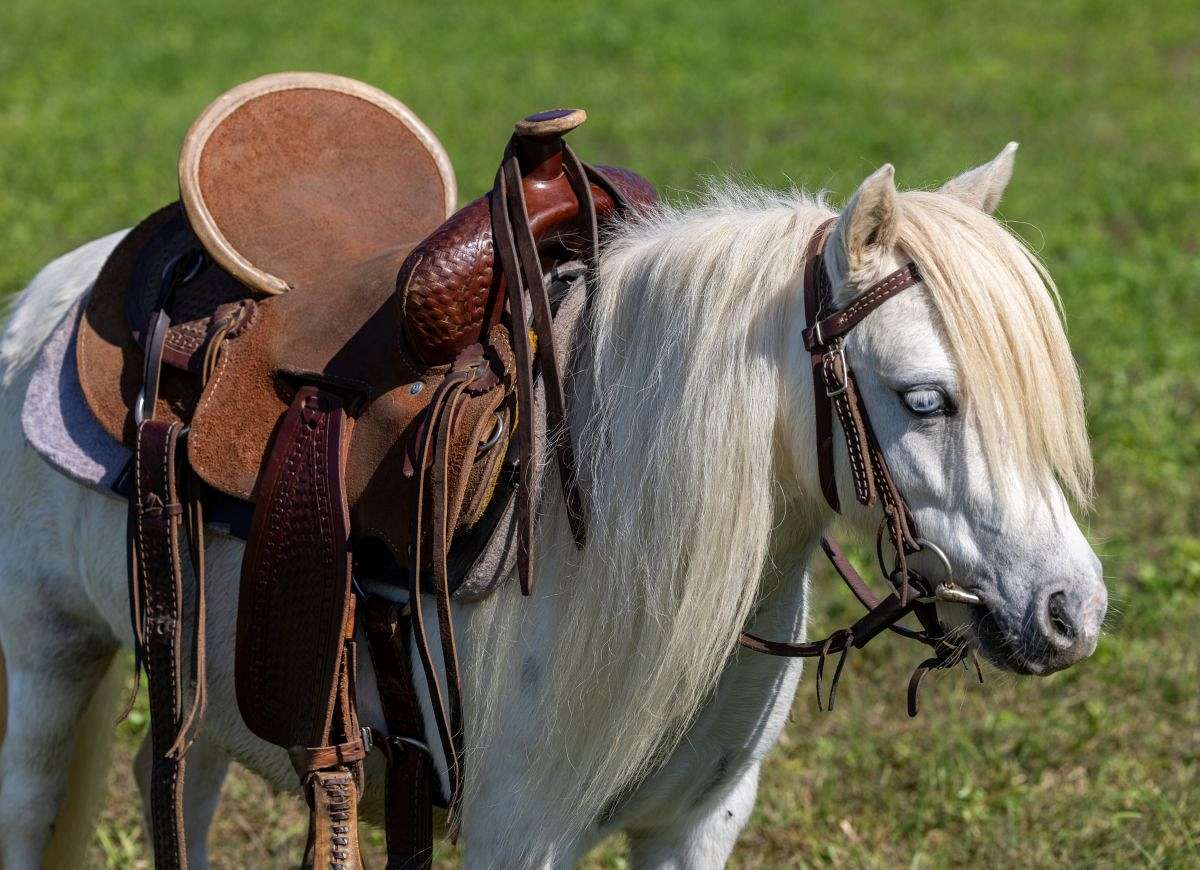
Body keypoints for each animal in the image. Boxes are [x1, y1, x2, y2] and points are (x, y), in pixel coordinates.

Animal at [0, 143, 1106, 868]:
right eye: (924, 399)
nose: (1073, 612)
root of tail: (59, 289)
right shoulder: (519, 830)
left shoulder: (695, 827)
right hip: (49, 662)